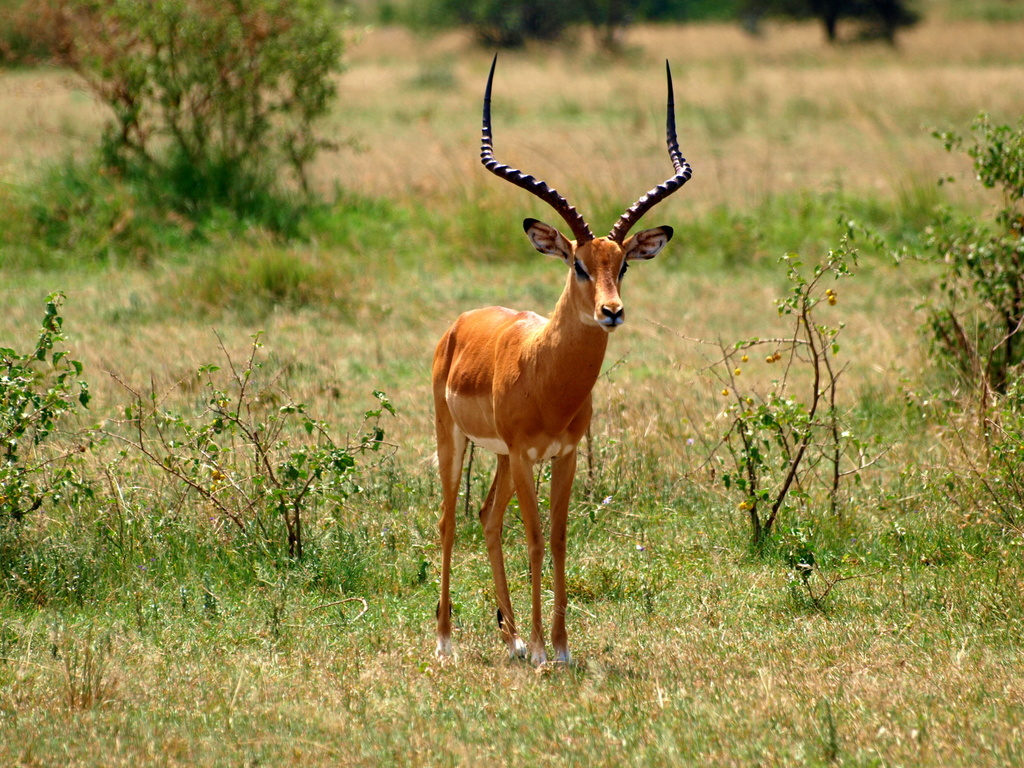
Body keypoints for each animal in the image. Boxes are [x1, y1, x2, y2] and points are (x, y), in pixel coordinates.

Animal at [432, 57, 692, 664]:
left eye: (623, 265)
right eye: (577, 264)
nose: (612, 312)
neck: (546, 377)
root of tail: (461, 324)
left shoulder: (563, 455)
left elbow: (557, 538)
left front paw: (559, 646)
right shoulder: (530, 457)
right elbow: (532, 538)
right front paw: (544, 652)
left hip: (500, 458)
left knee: (487, 518)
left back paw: (511, 638)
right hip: (454, 440)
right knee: (450, 522)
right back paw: (446, 639)